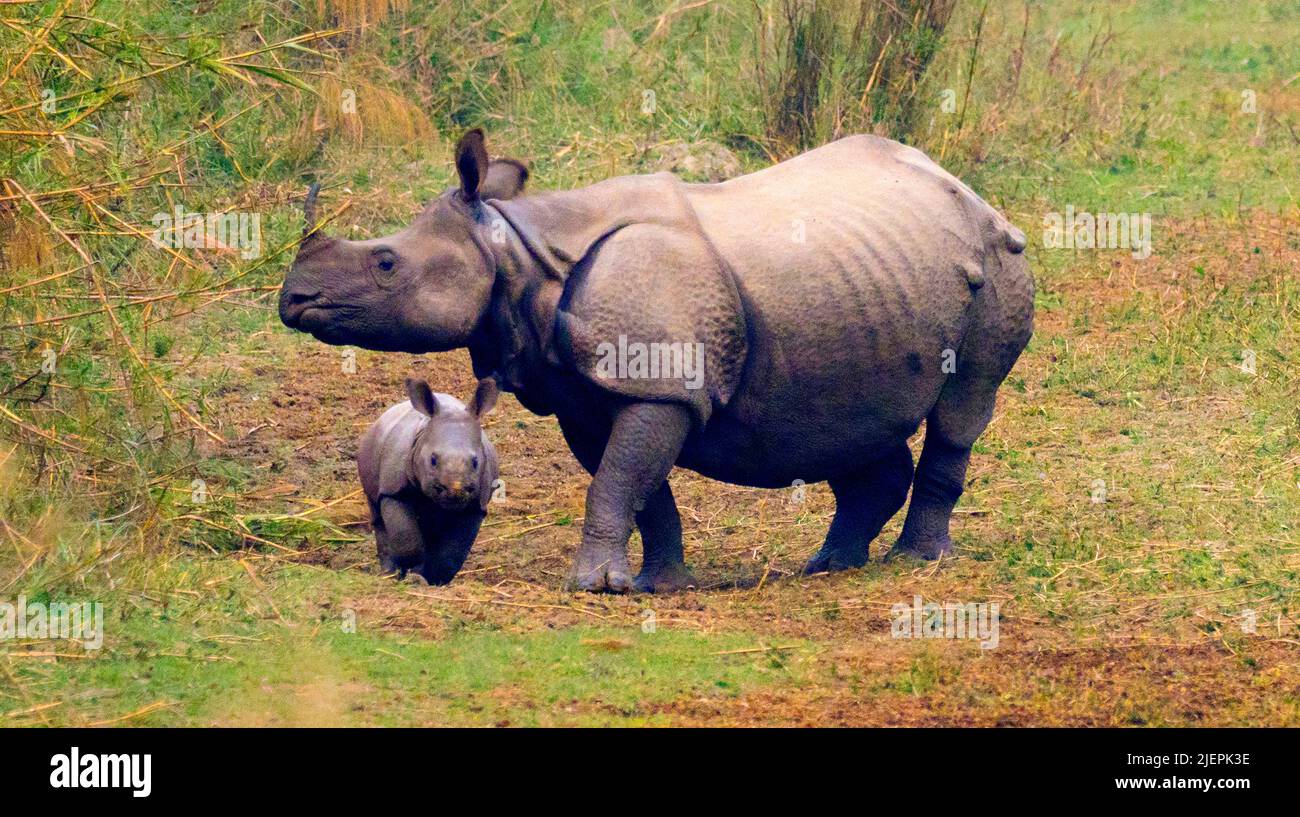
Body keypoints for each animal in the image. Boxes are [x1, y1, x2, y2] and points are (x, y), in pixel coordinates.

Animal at [358, 377, 500, 584]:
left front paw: (432, 580)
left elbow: (451, 555)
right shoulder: (393, 490)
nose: (454, 491)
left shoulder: (475, 505)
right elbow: (405, 536)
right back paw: (388, 574)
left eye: (475, 462)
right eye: (433, 460)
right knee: (377, 513)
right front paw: (411, 573)